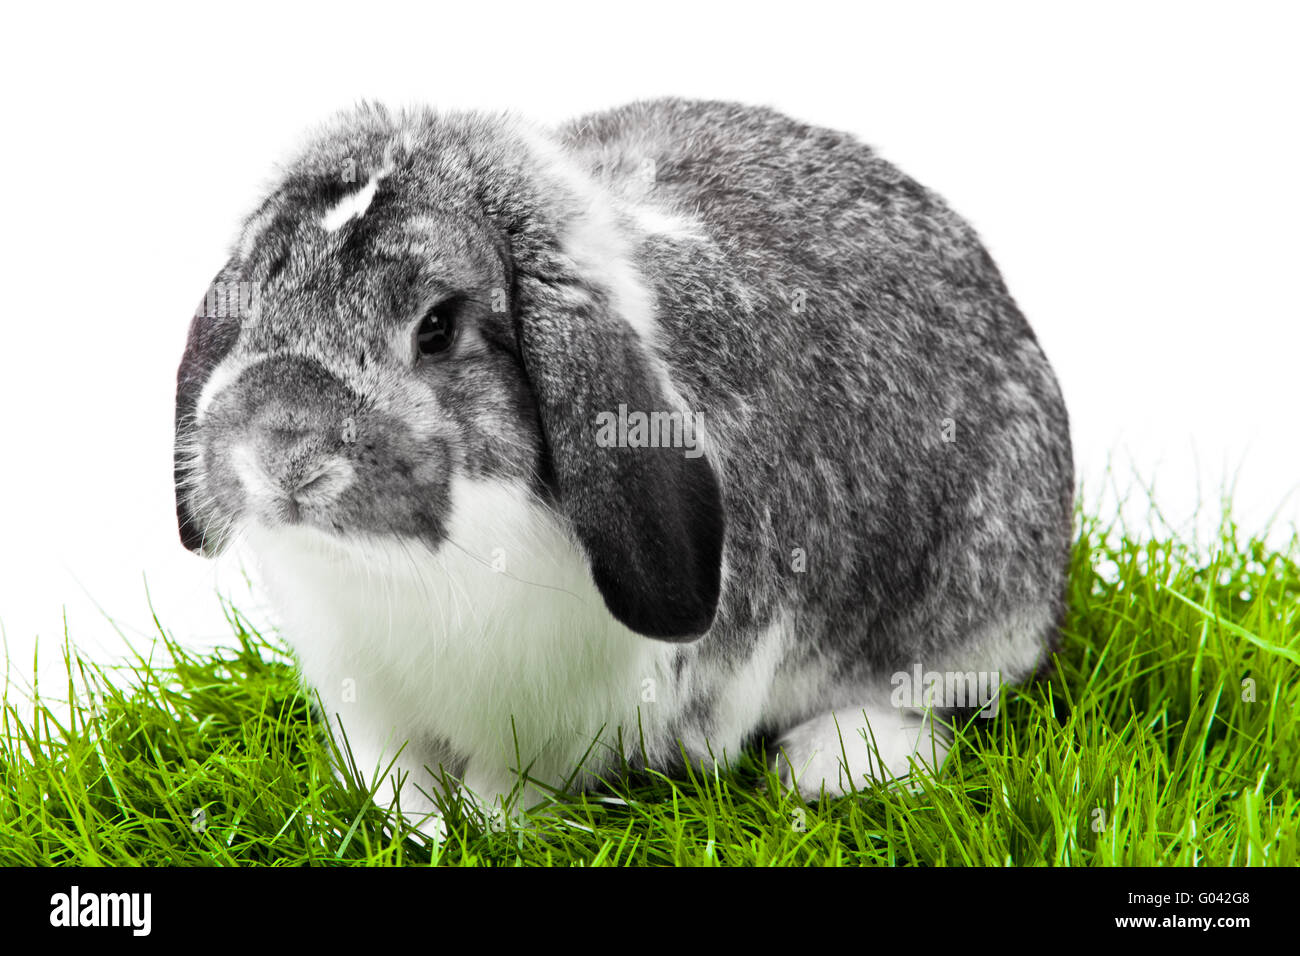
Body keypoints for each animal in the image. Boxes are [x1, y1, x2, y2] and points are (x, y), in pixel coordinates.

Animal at [174, 97, 1073, 826]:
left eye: (437, 327)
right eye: (252, 302)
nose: (281, 455)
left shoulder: (556, 721)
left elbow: (509, 790)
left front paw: (489, 825)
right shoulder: (365, 697)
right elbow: (396, 777)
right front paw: (410, 826)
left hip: (971, 601)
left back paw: (833, 761)